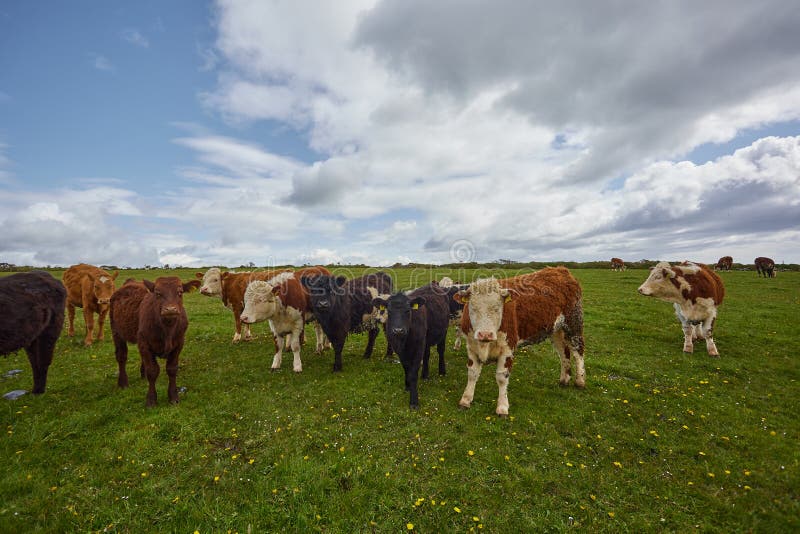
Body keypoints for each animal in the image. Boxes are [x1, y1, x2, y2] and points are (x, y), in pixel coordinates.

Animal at [110, 277, 201, 406]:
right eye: (158, 293)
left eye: (180, 292)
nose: (170, 309)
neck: (167, 329)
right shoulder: (145, 344)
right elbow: (152, 371)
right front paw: (151, 400)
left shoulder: (178, 344)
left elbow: (172, 369)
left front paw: (173, 397)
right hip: (116, 332)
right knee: (121, 356)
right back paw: (123, 383)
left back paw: (142, 375)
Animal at [454, 267, 585, 417]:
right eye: (473, 308)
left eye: (497, 308)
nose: (485, 334)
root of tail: (560, 269)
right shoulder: (471, 346)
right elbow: (472, 374)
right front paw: (465, 400)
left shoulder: (508, 348)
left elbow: (502, 378)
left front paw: (502, 407)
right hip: (555, 330)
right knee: (564, 353)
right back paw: (564, 379)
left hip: (574, 324)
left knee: (578, 352)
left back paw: (580, 381)